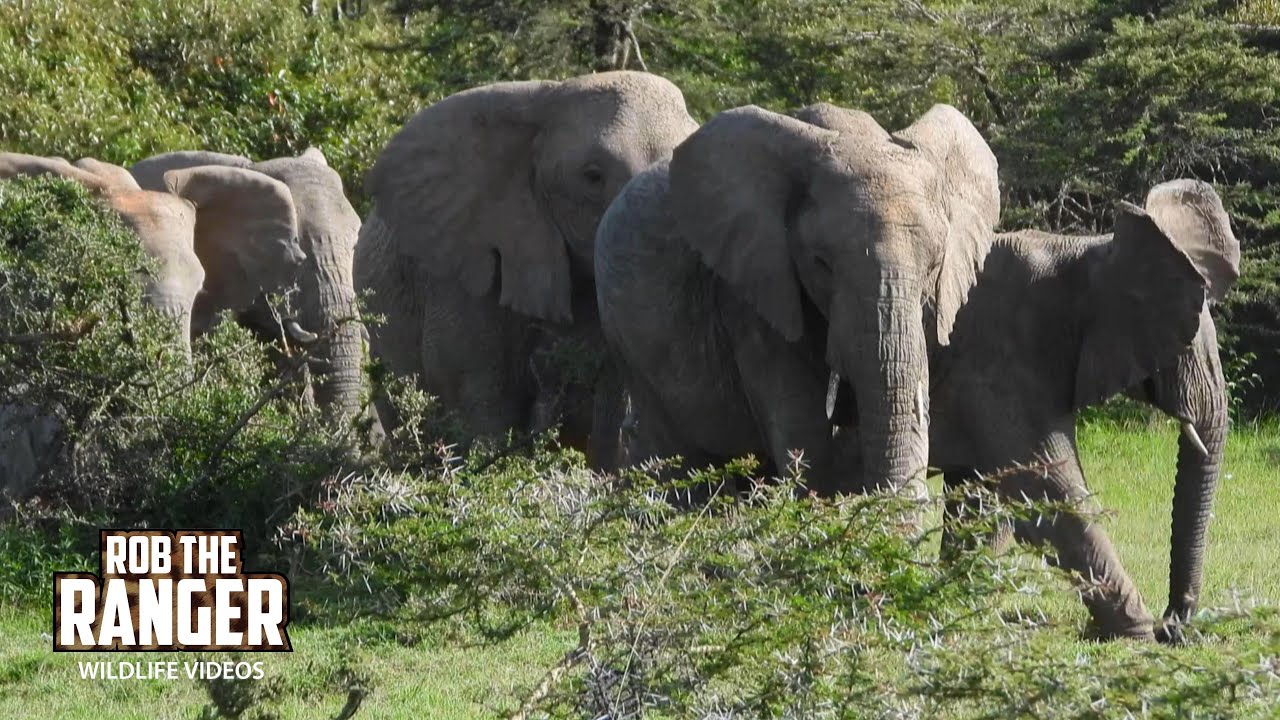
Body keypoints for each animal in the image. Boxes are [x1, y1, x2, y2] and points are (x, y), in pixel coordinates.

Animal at [831, 179, 1239, 642]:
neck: (1086, 255)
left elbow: (985, 499)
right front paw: (1135, 633)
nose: (1175, 627)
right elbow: (1046, 486)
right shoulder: (999, 359)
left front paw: (951, 606)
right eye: (1179, 347)